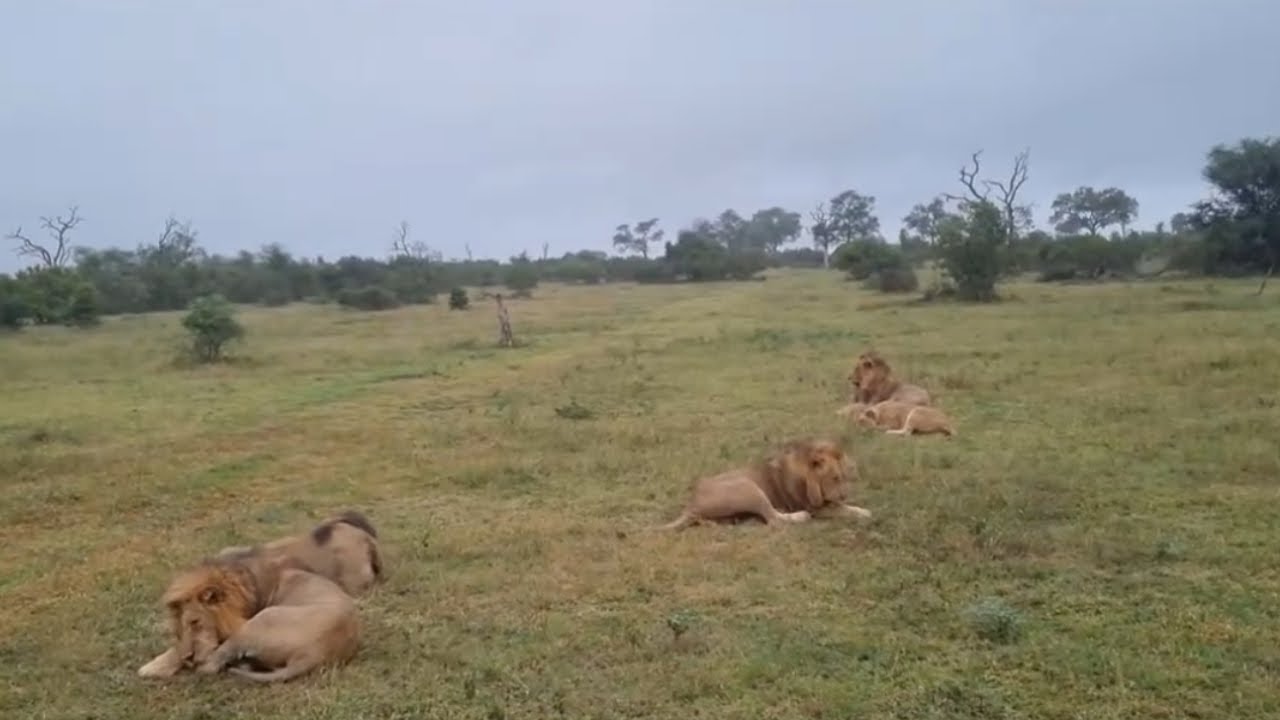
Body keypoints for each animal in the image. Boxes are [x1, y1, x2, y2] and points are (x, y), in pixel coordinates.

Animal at [137, 551, 361, 683]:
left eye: (195, 622)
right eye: (177, 631)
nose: (188, 658)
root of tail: (311, 656)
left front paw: (155, 667)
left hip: (261, 619)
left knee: (211, 666)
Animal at [660, 438, 872, 530]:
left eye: (844, 476)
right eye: (834, 477)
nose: (845, 494)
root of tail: (691, 504)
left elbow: (842, 506)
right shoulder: (816, 508)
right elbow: (843, 509)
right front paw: (863, 512)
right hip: (749, 488)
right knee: (773, 519)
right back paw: (798, 516)